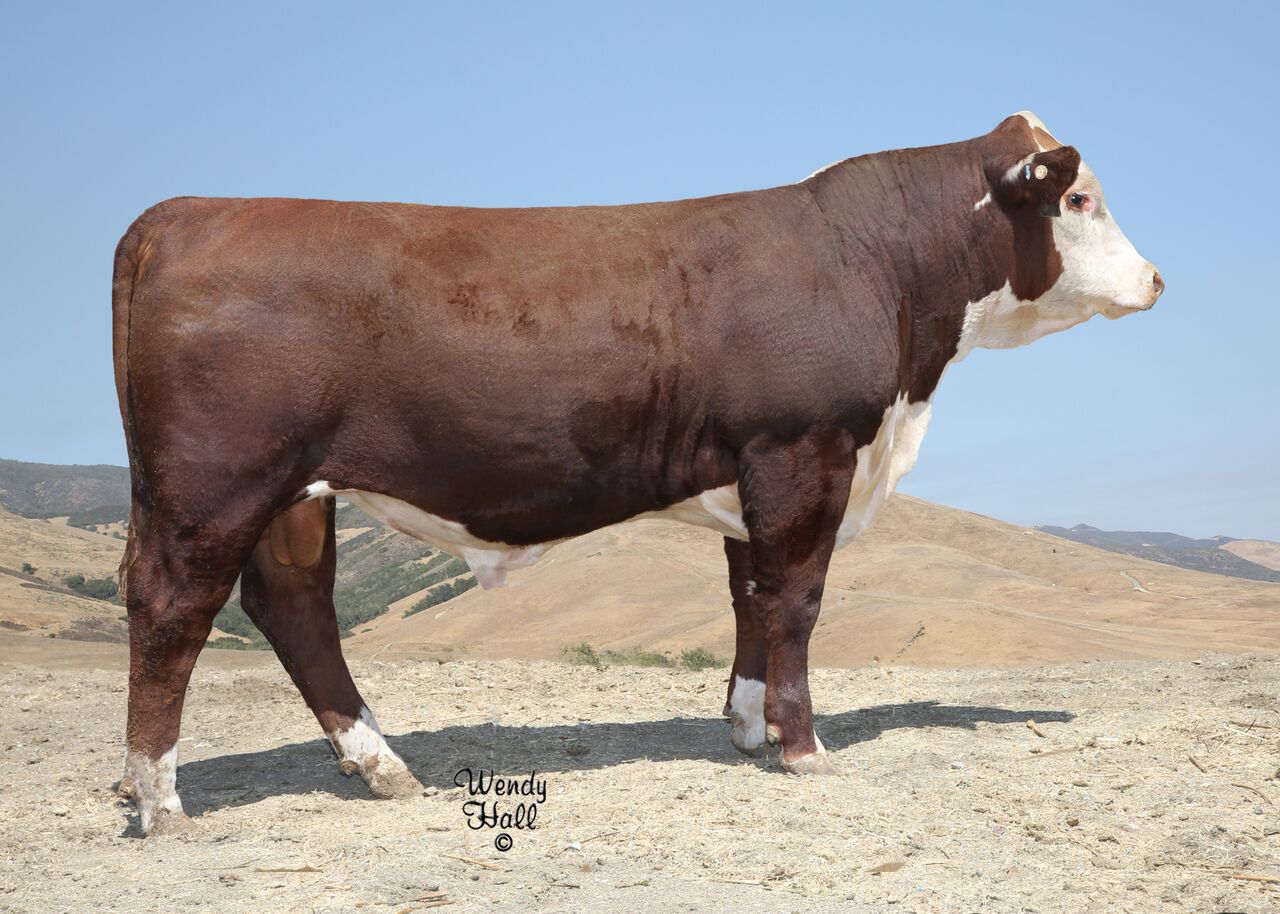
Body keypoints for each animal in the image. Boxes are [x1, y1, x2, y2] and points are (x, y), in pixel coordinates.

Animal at [112, 112, 1161, 835]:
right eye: (1078, 200)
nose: (1155, 279)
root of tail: (182, 213)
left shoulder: (755, 474)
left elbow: (749, 599)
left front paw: (746, 729)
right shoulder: (805, 450)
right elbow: (795, 602)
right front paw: (804, 747)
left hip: (293, 493)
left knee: (293, 605)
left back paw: (377, 765)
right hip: (215, 485)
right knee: (173, 605)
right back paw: (160, 798)